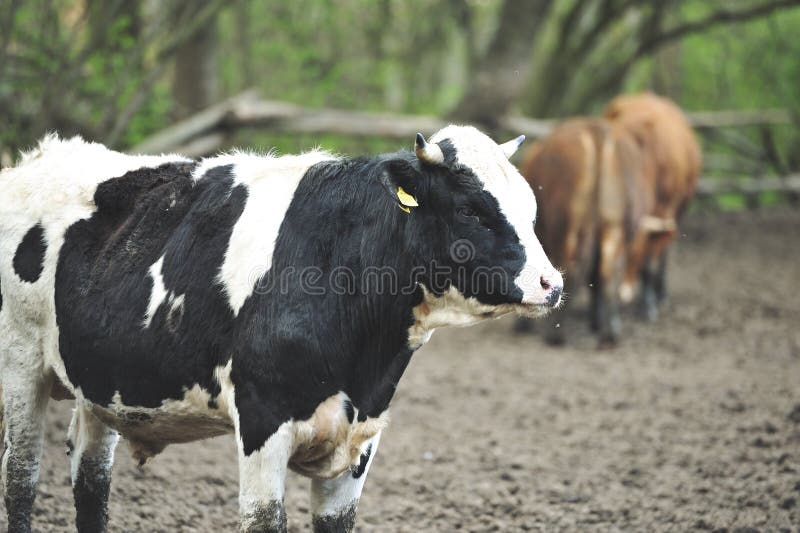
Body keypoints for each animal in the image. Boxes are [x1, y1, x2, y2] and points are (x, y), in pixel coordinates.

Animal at [0, 127, 563, 533]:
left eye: (532, 210)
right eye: (471, 210)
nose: (551, 283)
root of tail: (36, 158)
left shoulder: (360, 441)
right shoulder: (262, 422)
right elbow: (264, 520)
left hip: (99, 384)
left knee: (90, 483)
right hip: (20, 365)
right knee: (20, 480)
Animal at [516, 118, 652, 347]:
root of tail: (595, 128)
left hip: (569, 230)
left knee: (572, 268)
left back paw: (556, 332)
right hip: (614, 227)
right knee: (607, 271)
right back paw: (609, 331)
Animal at [604, 93, 702, 320]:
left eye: (637, 256)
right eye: (620, 254)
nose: (623, 293)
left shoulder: (665, 214)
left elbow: (651, 264)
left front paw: (648, 304)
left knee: (664, 255)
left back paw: (660, 293)